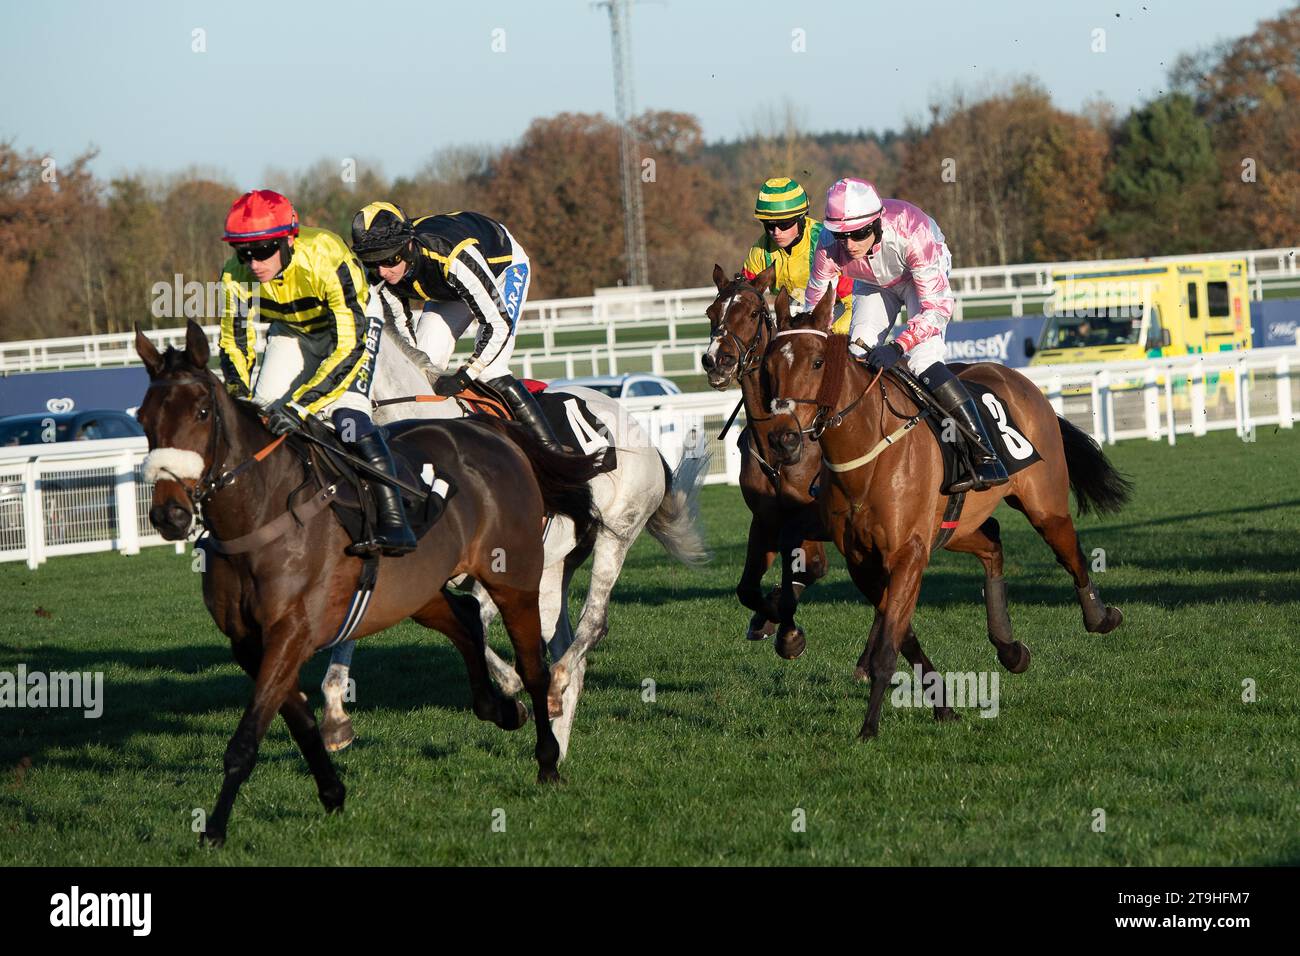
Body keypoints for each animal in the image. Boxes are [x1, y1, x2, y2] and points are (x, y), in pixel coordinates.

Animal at [134, 320, 603, 846]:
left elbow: (247, 737)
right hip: (416, 591)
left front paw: (214, 828)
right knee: (464, 620)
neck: (262, 511)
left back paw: (548, 761)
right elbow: (298, 720)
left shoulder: (291, 632)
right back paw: (501, 709)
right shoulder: (249, 643)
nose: (169, 514)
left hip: (513, 577)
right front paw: (332, 792)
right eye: (143, 418)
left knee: (534, 667)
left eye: (201, 411)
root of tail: (492, 433)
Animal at [319, 310, 712, 760]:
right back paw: (556, 741)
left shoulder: (497, 566)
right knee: (567, 651)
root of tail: (641, 434)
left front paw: (508, 685)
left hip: (618, 532)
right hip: (556, 566)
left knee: (592, 624)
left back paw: (554, 691)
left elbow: (475, 621)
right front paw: (334, 714)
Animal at [700, 264, 830, 659]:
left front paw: (788, 631)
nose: (717, 359)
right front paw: (769, 617)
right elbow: (747, 588)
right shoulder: (766, 517)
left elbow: (811, 567)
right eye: (711, 313)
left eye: (755, 313)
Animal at [762, 291, 1131, 738]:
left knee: (1071, 555)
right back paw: (1010, 649)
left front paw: (869, 728)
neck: (866, 455)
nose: (783, 439)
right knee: (993, 542)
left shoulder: (908, 553)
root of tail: (1021, 381)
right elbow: (901, 635)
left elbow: (889, 644)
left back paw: (1100, 616)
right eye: (768, 366)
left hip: (1045, 505)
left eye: (817, 362)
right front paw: (943, 706)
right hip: (955, 526)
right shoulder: (861, 558)